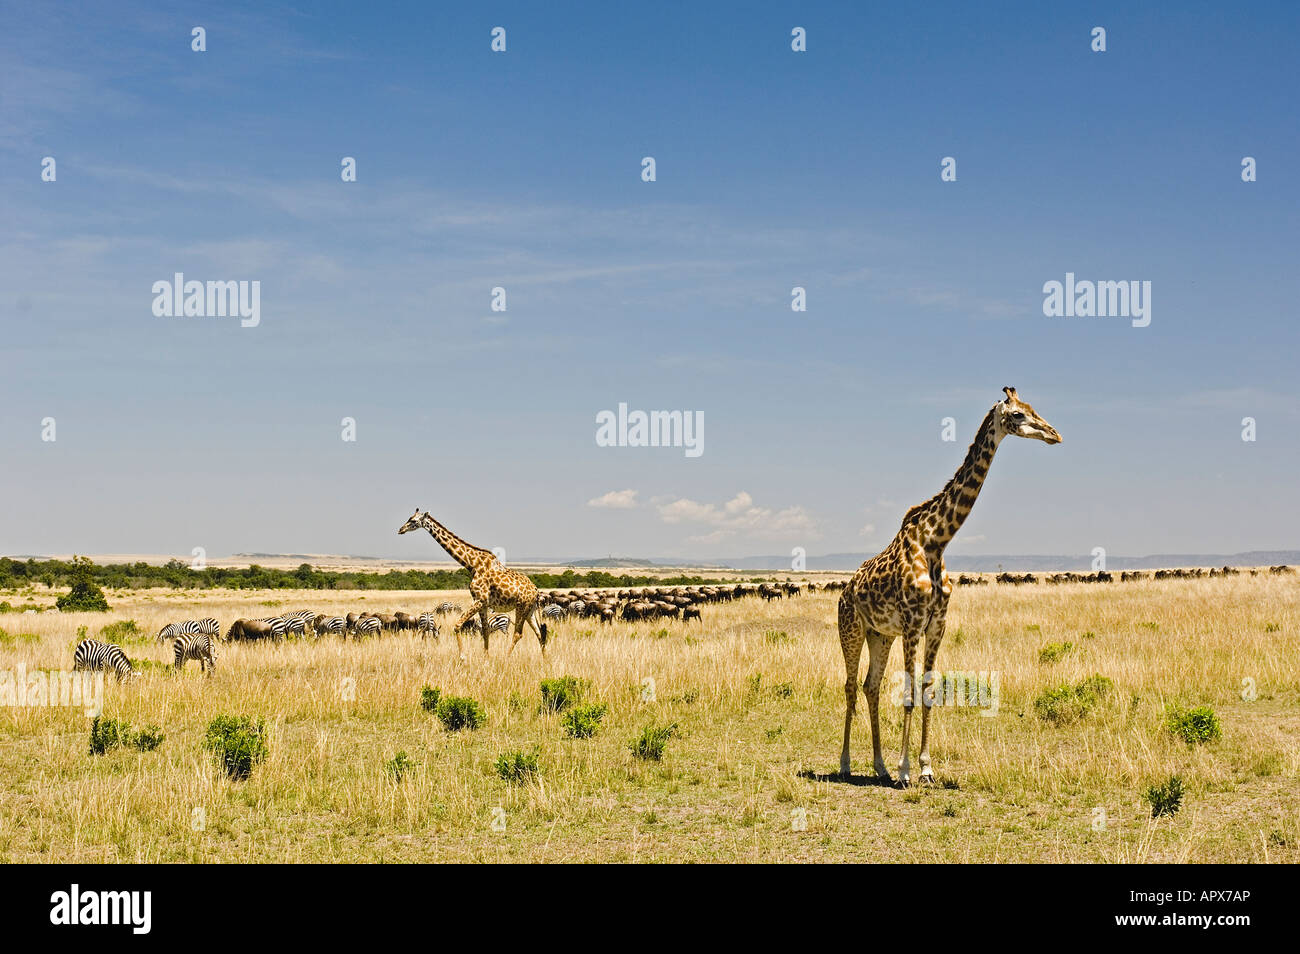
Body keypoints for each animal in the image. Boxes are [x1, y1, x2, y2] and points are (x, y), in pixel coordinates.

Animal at [397, 508, 548, 659]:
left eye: (413, 520)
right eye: (409, 517)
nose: (401, 529)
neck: (472, 564)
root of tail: (535, 591)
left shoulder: (480, 600)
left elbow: (457, 625)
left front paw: (463, 657)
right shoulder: (483, 603)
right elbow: (485, 631)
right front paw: (486, 658)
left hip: (521, 606)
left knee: (518, 634)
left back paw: (506, 658)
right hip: (530, 610)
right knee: (540, 633)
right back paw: (545, 660)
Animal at [838, 387, 1061, 786]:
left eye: (1033, 408)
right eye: (1018, 415)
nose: (1054, 434)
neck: (936, 540)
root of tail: (845, 591)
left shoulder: (936, 625)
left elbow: (928, 690)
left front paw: (926, 769)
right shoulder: (913, 624)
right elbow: (909, 693)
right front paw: (905, 770)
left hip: (880, 635)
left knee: (870, 686)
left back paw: (878, 766)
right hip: (851, 628)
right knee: (850, 686)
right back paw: (847, 763)